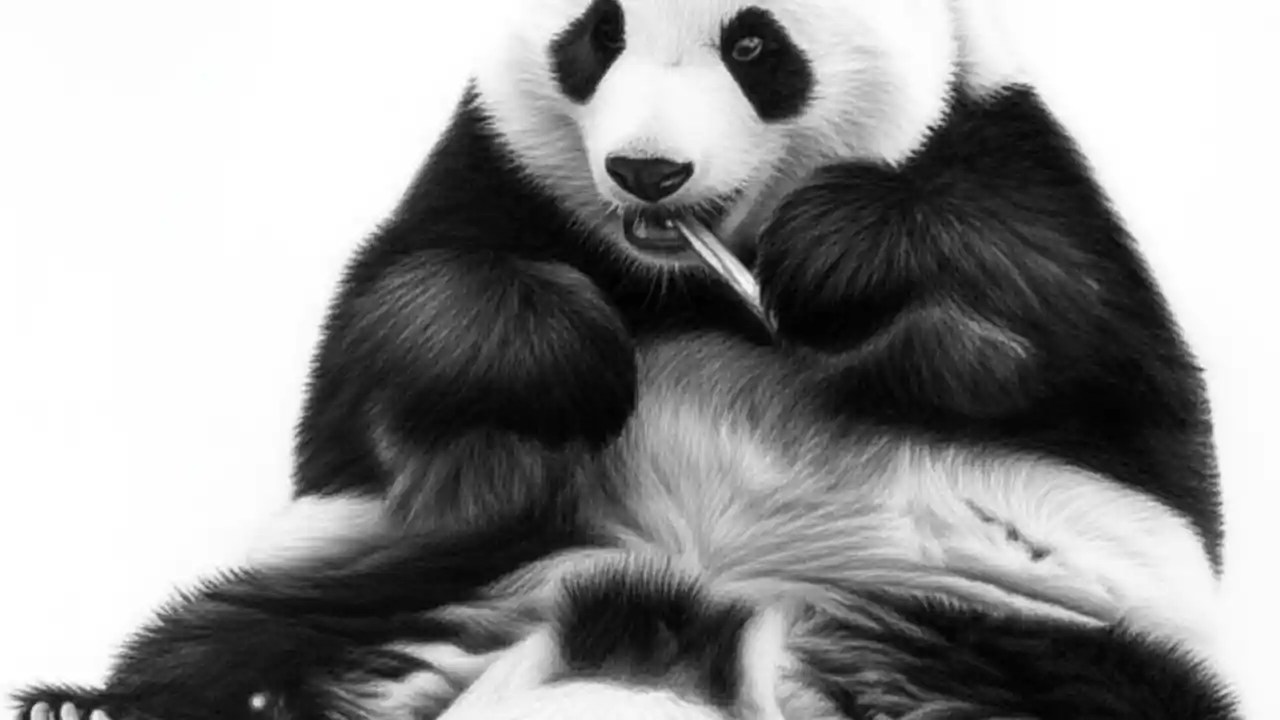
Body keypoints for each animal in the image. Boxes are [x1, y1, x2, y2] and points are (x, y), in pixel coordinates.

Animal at [16, 0, 1240, 718]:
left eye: (753, 44)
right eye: (595, 33)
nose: (648, 174)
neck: (681, 275)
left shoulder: (1008, 147)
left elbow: (1089, 350)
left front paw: (839, 251)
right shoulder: (490, 168)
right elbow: (383, 342)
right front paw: (567, 360)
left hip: (1013, 624)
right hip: (425, 574)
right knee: (232, 646)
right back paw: (82, 703)